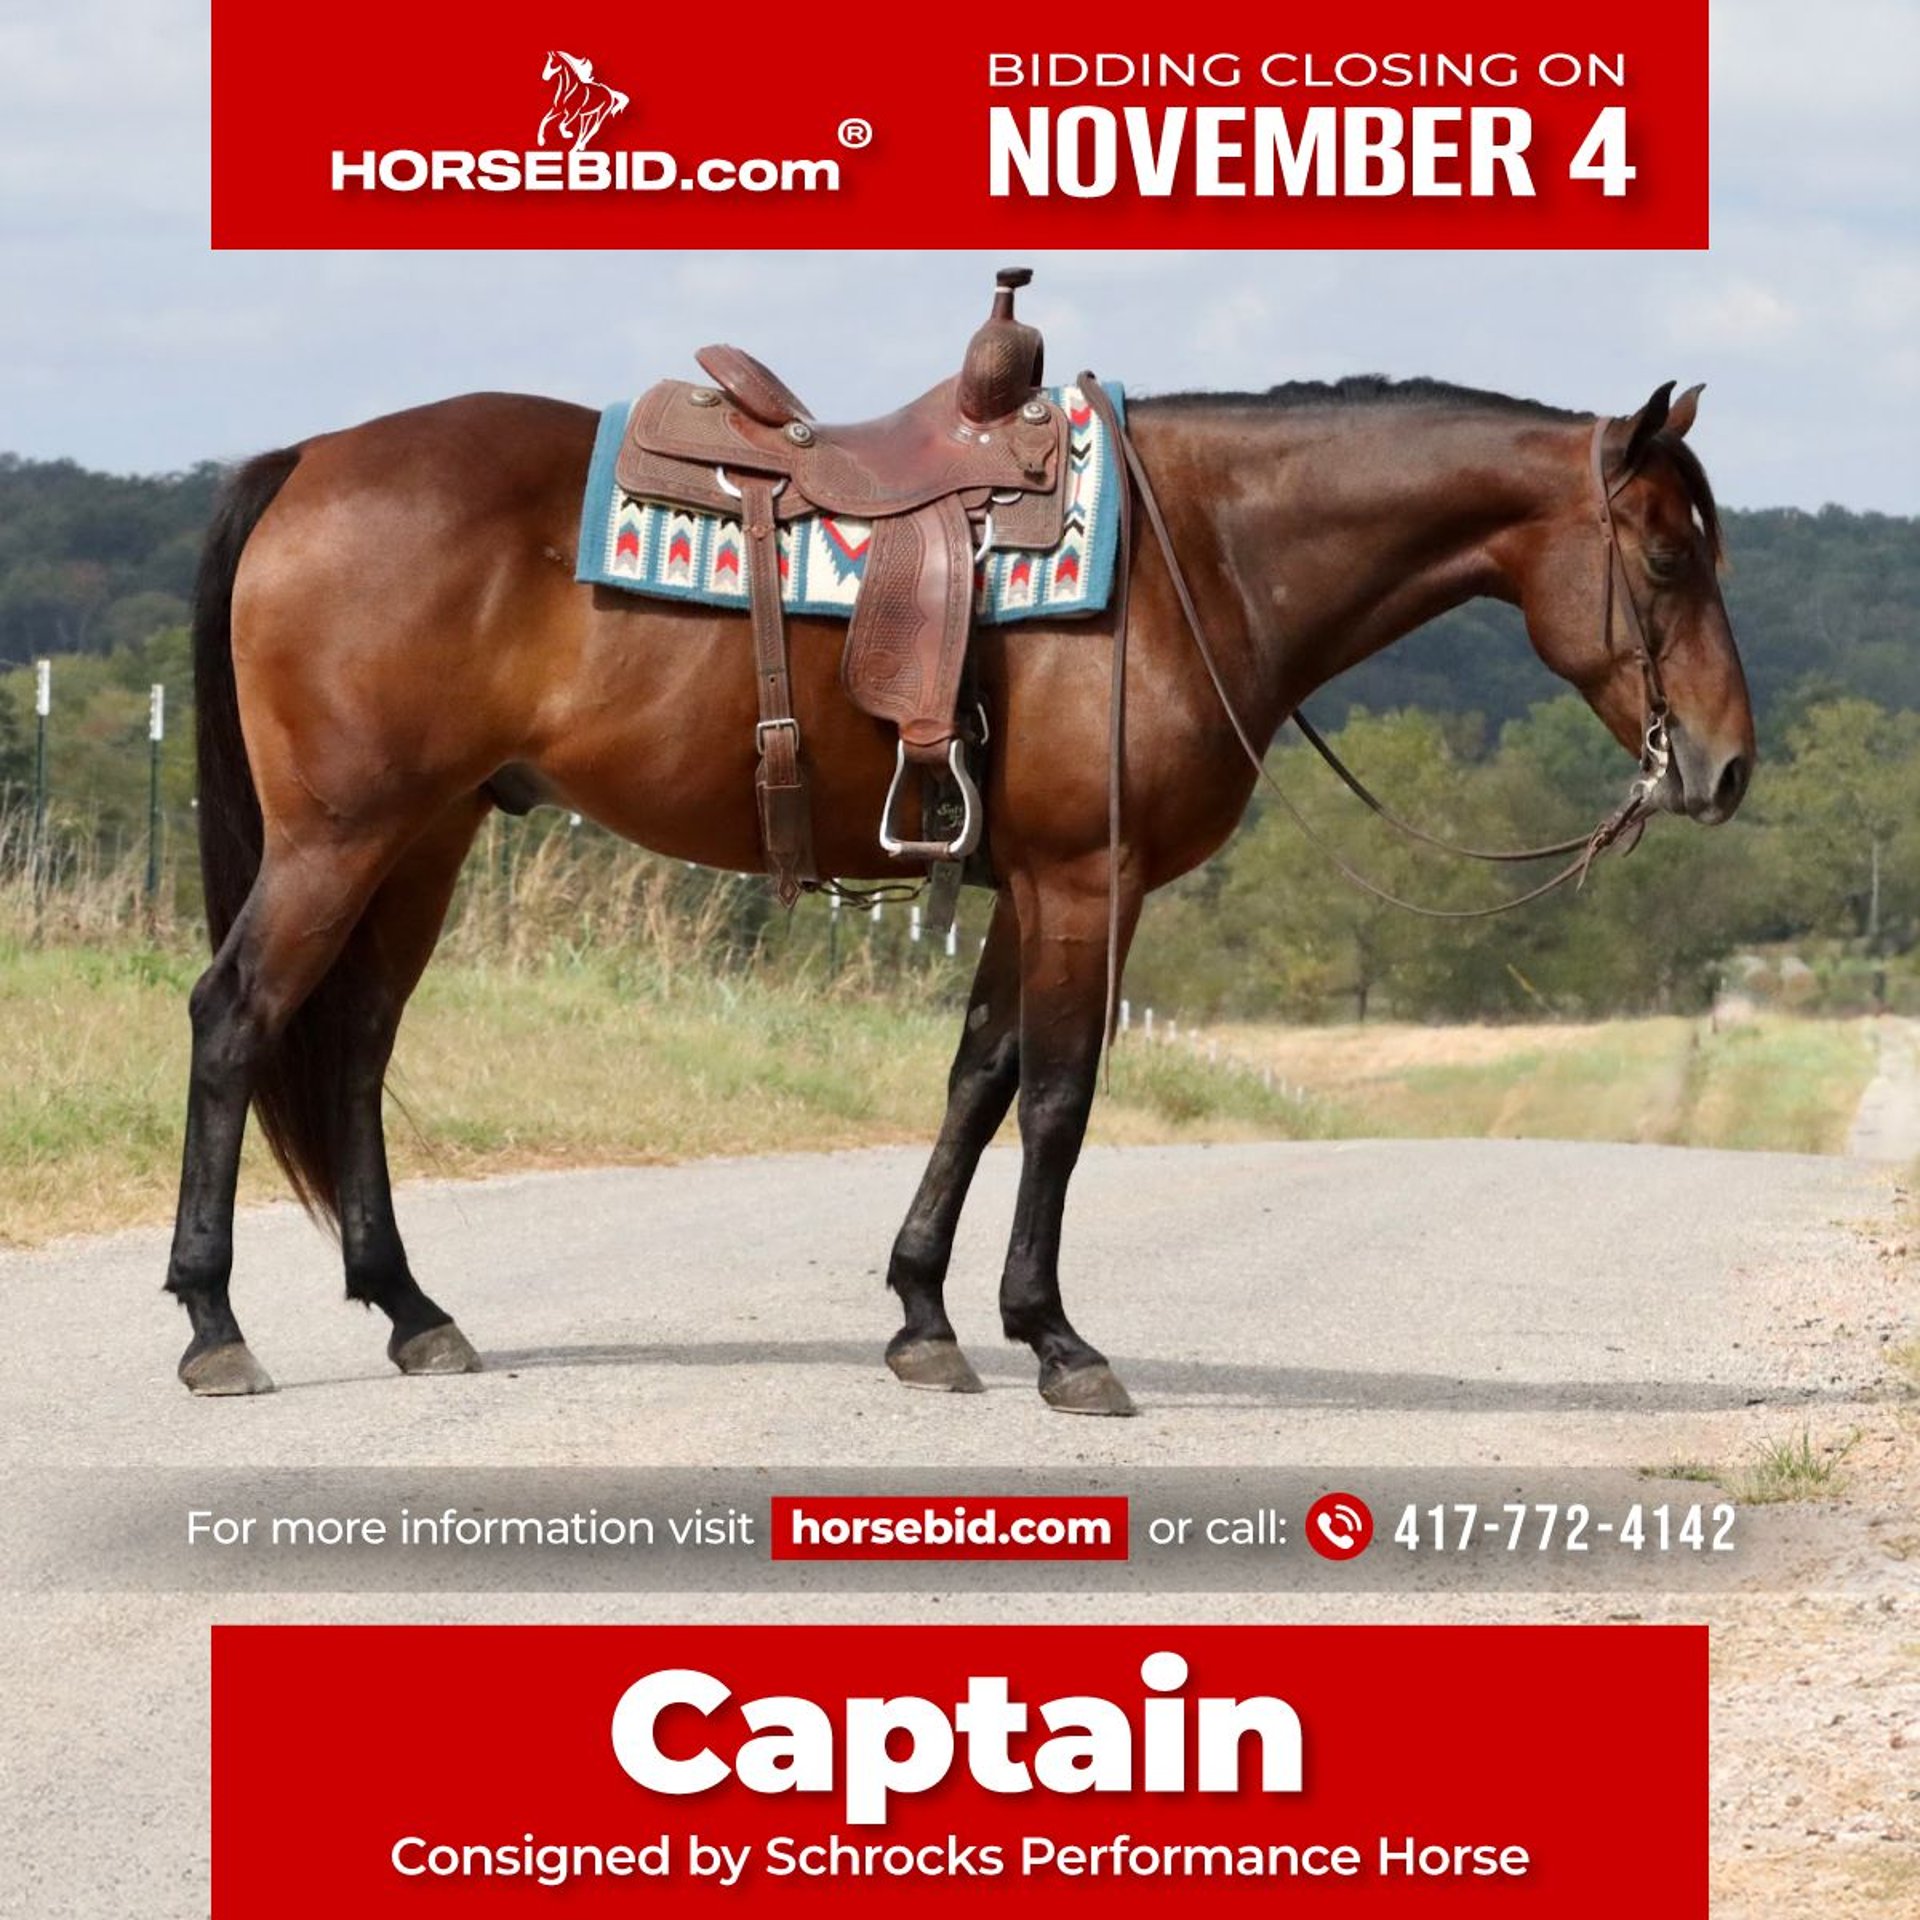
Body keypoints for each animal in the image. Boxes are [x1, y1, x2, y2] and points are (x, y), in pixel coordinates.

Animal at [167, 373, 1754, 1412]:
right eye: (1669, 555)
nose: (1726, 767)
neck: (1198, 556)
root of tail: (309, 456)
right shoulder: (1088, 882)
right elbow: (1056, 1096)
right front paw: (1055, 1339)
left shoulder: (1023, 887)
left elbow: (977, 1078)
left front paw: (926, 1316)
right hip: (339, 837)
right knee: (235, 1019)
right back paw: (214, 1327)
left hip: (421, 838)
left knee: (353, 1045)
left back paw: (412, 1313)